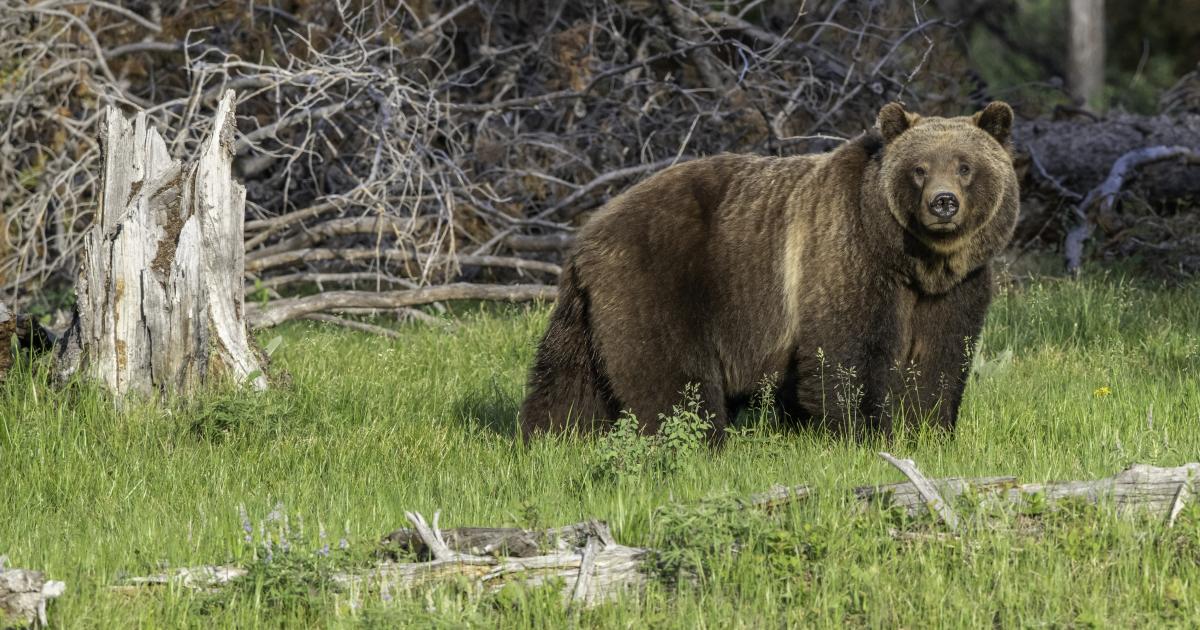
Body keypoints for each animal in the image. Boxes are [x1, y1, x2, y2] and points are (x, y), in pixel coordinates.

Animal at [520, 101, 1019, 442]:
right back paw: (700, 442)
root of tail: (586, 234)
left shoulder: (957, 289)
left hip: (591, 313)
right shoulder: (847, 257)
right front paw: (861, 433)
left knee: (569, 380)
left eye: (965, 166)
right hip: (660, 282)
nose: (943, 203)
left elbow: (939, 360)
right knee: (672, 380)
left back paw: (551, 438)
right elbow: (847, 356)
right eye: (919, 169)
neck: (915, 262)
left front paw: (928, 429)